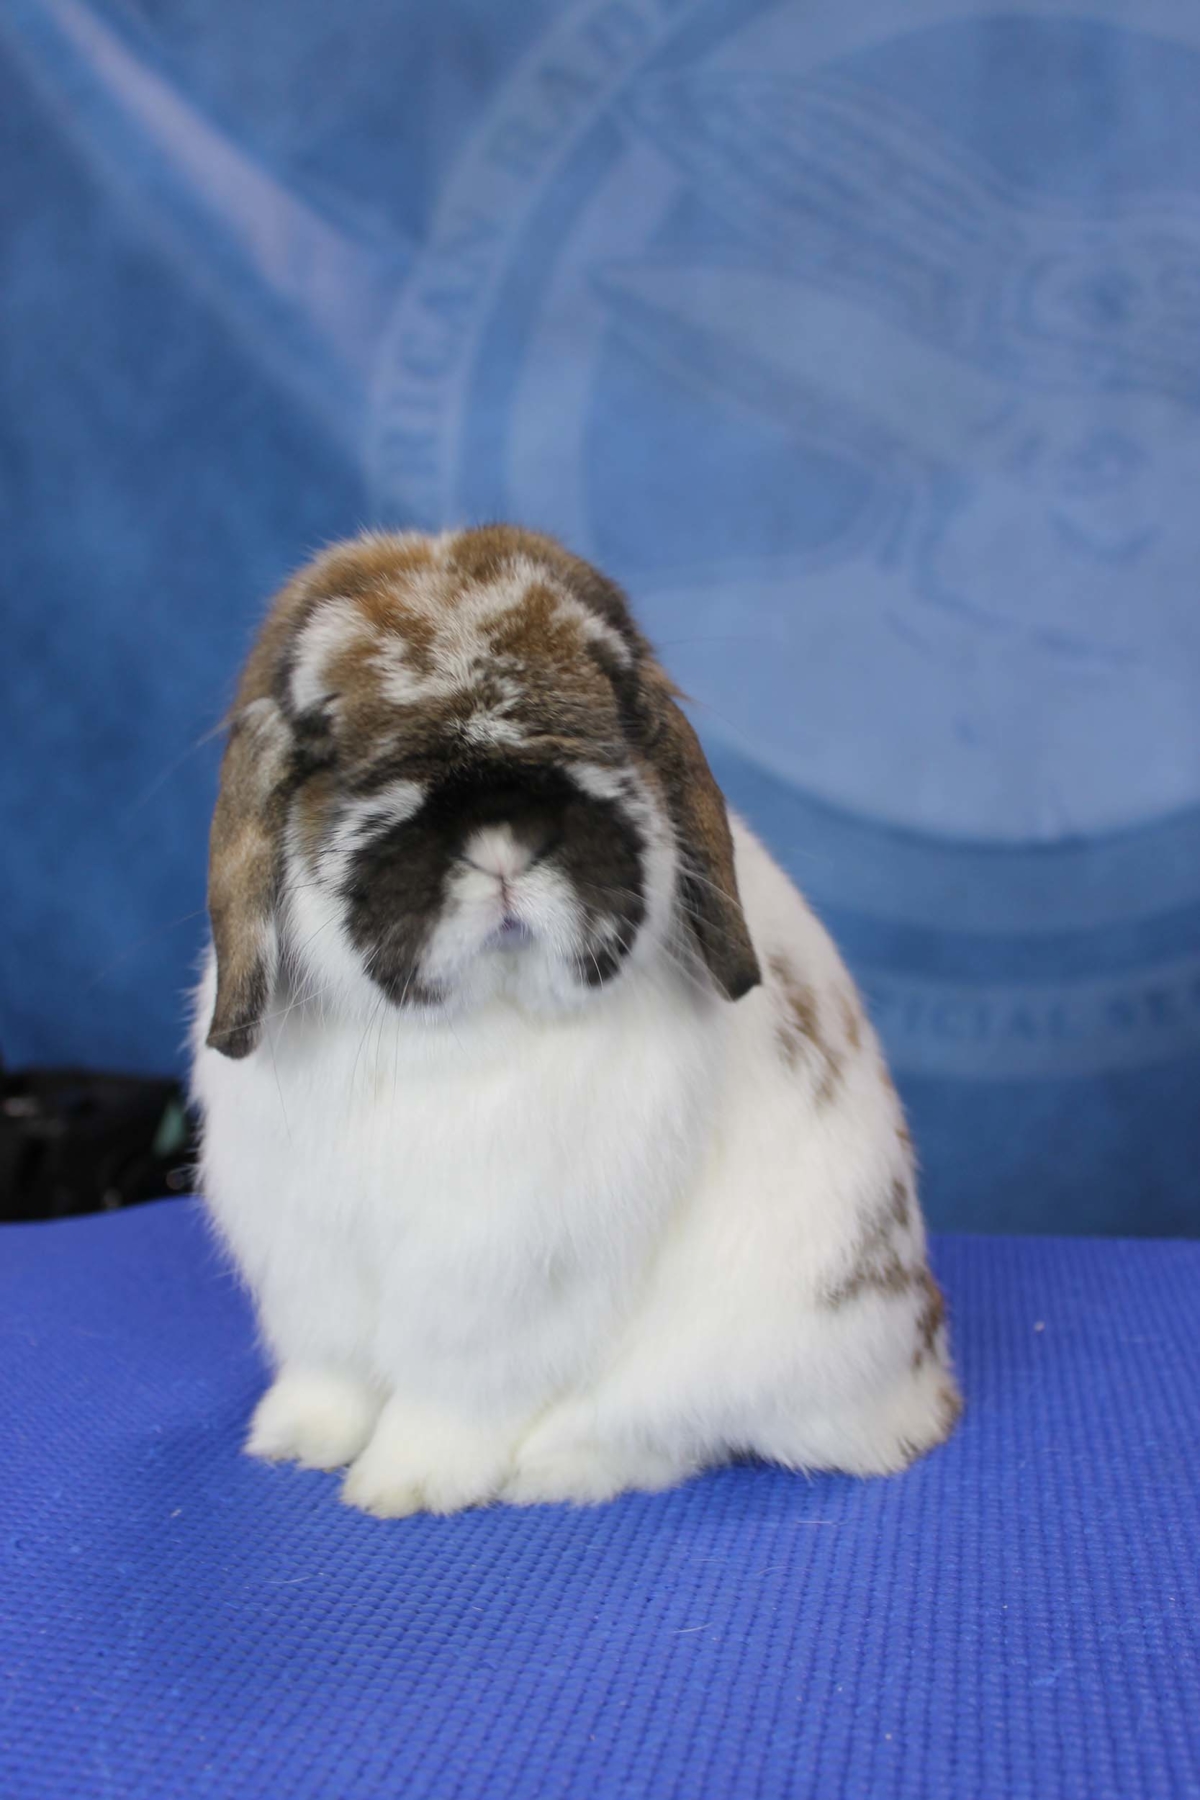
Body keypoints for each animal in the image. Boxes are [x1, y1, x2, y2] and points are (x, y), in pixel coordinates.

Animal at [191, 525, 961, 1516]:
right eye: (322, 728)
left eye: (614, 689)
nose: (504, 834)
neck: (462, 1031)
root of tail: (917, 1389)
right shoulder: (311, 1273)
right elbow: (333, 1375)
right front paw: (297, 1440)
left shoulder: (493, 1292)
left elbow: (454, 1399)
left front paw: (405, 1484)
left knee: (672, 1429)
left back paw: (553, 1467)